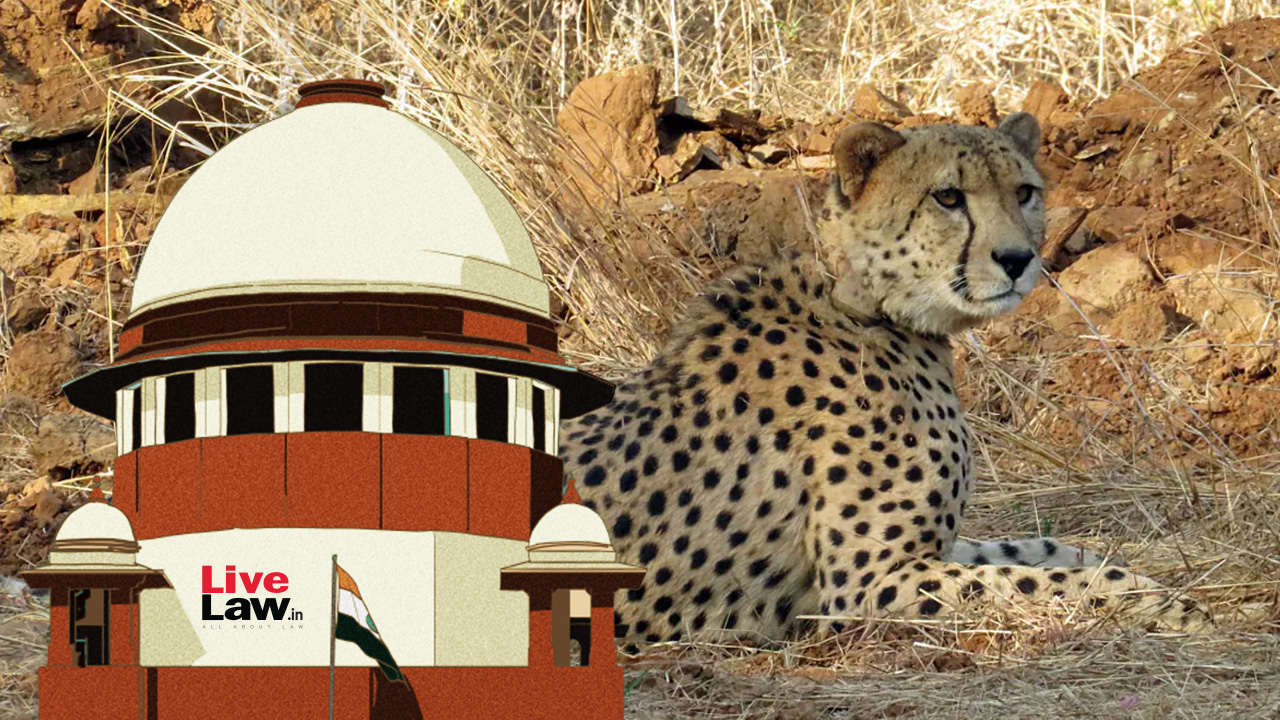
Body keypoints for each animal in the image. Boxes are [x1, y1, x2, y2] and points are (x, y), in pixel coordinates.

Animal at [559, 112, 1210, 648]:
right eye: (948, 197)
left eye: (1024, 192)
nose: (1018, 260)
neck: (866, 305)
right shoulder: (866, 583)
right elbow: (1035, 580)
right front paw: (1164, 604)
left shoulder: (930, 550)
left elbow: (1038, 549)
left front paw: (1120, 568)